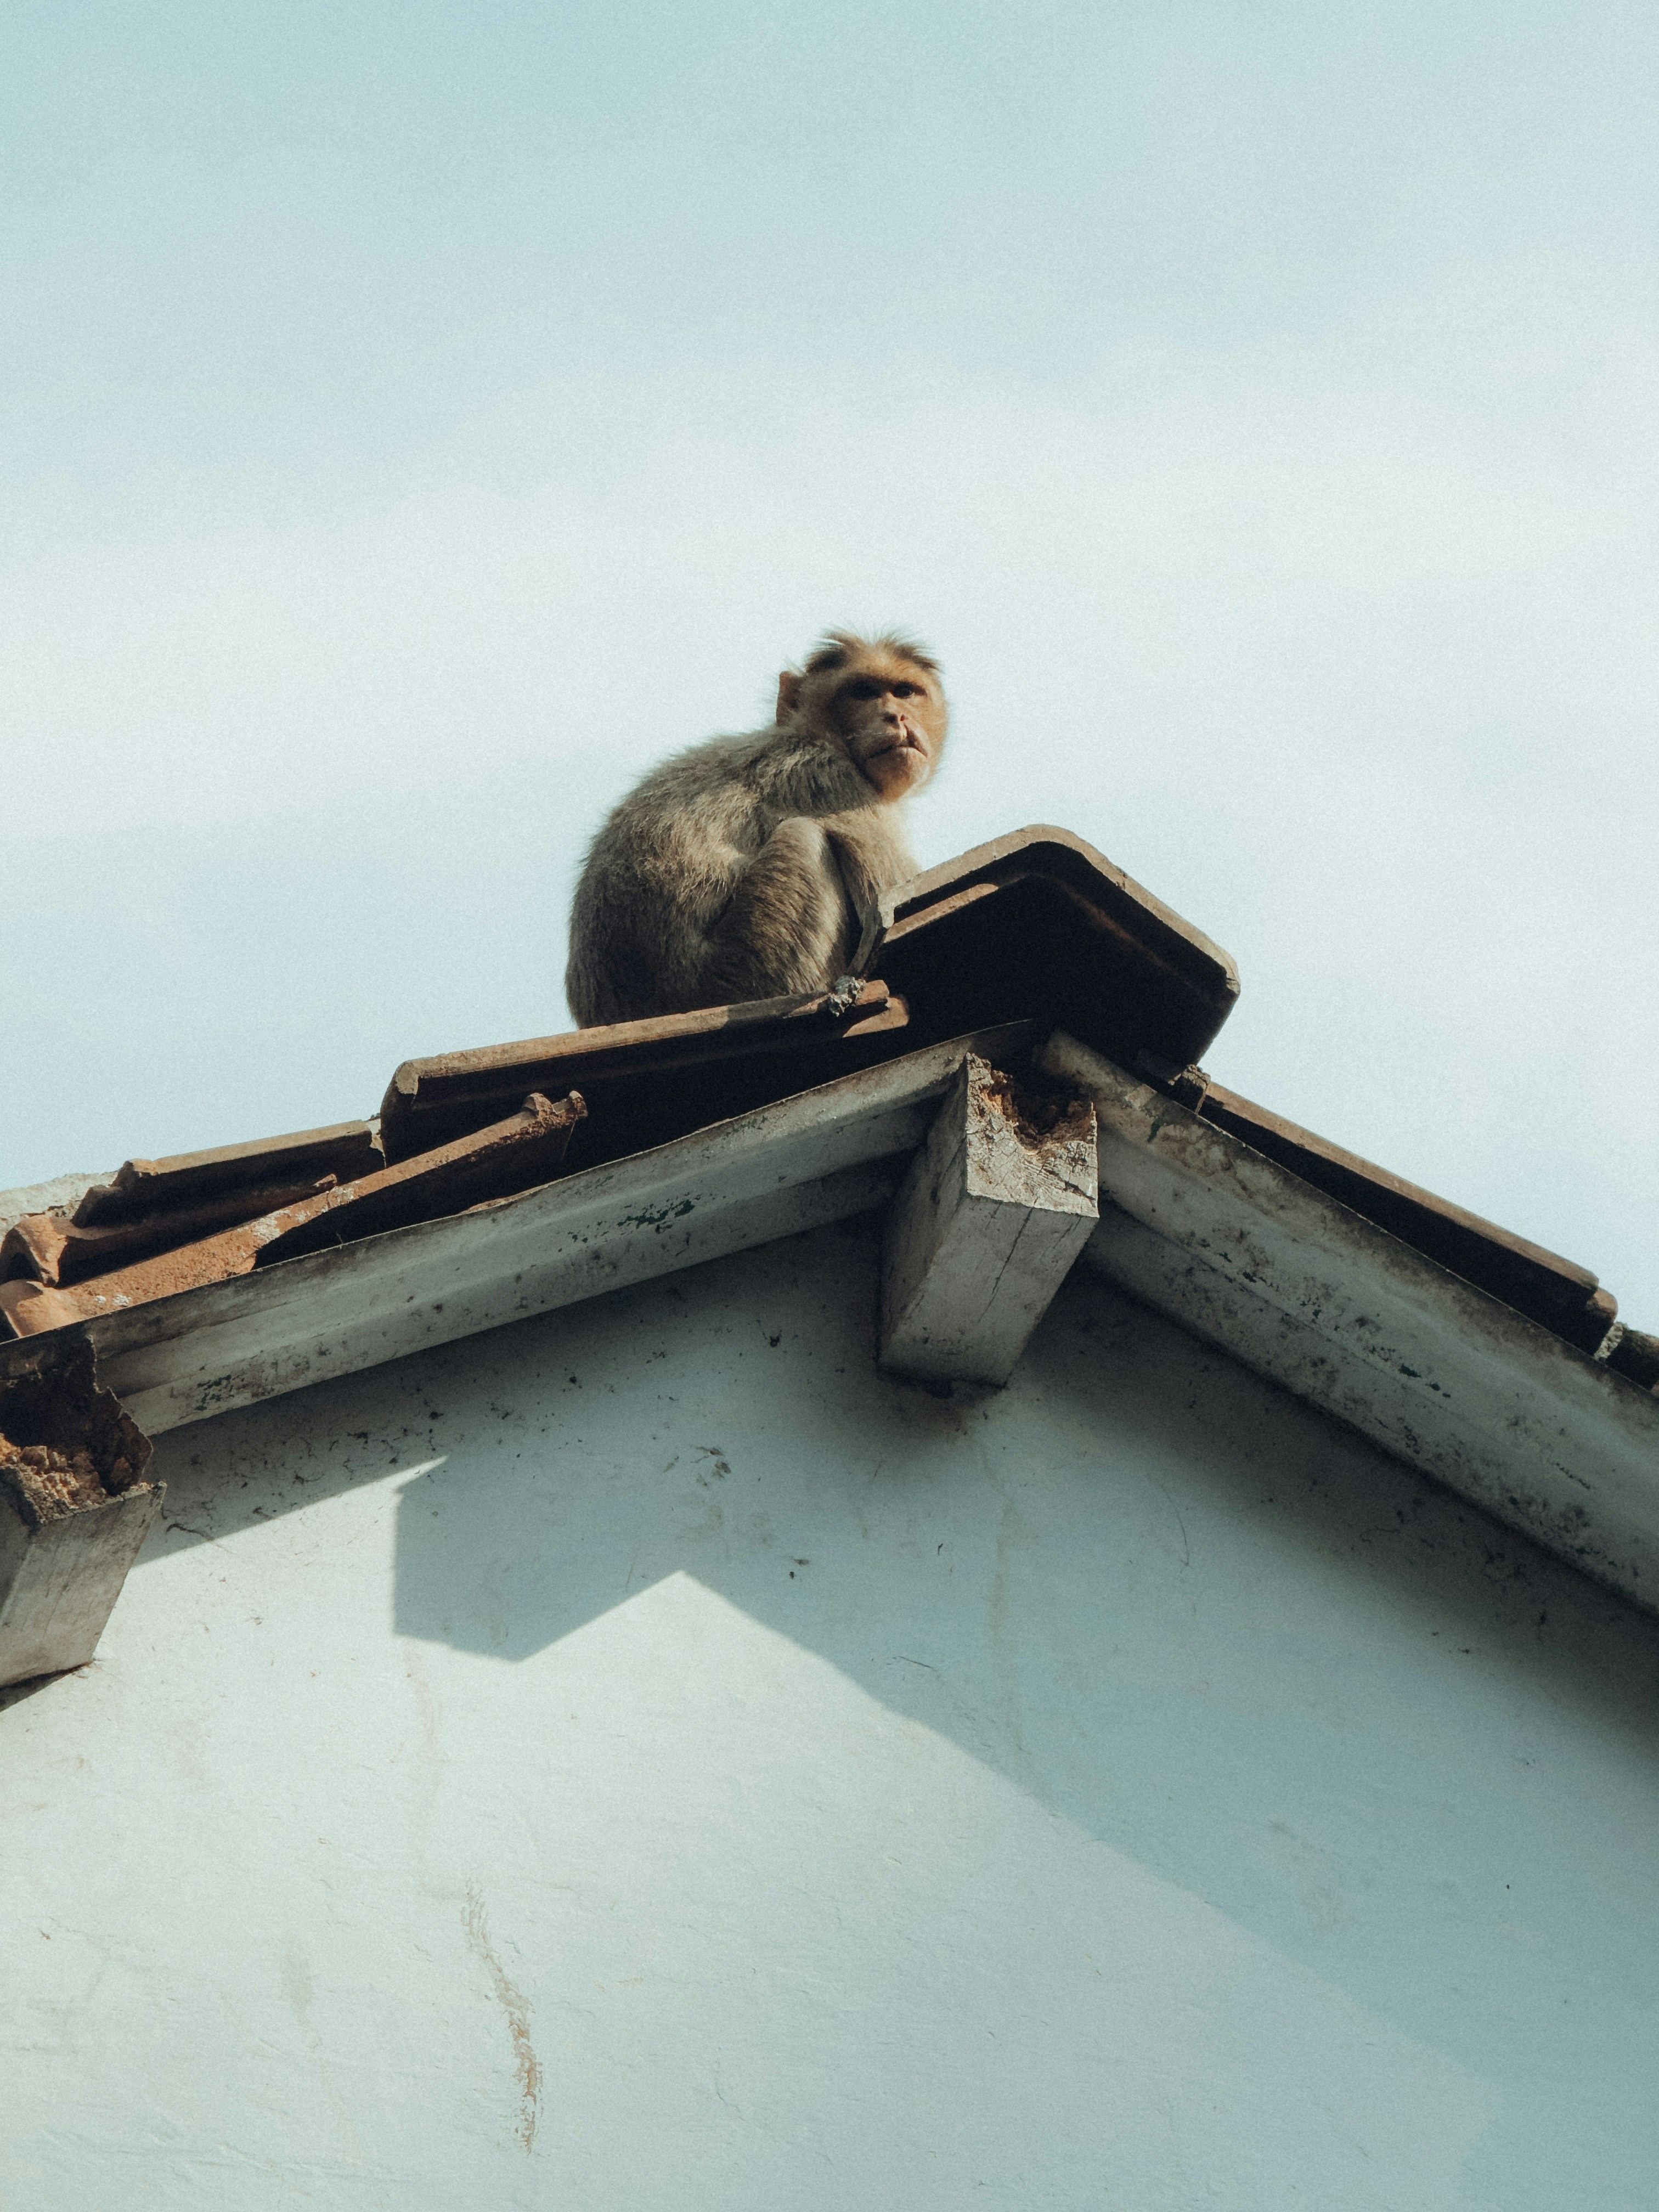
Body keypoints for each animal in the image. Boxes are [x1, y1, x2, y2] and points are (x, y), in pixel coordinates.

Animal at [565, 631, 947, 1027]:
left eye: (905, 691)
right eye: (863, 692)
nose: (896, 716)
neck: (816, 734)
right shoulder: (834, 781)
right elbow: (889, 898)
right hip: (746, 969)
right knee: (804, 836)